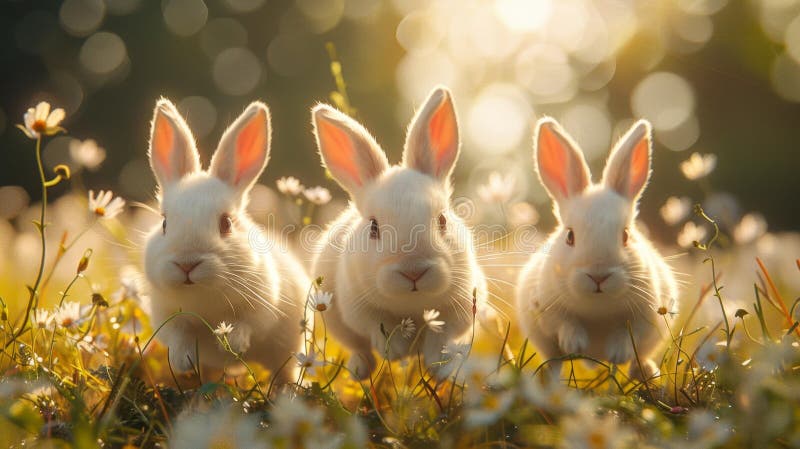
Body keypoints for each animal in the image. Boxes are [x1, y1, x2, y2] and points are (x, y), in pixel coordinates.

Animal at [142, 98, 308, 385]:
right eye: (164, 223)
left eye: (226, 223)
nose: (187, 264)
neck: (201, 293)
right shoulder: (166, 315)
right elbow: (178, 335)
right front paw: (183, 361)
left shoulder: (262, 305)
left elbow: (248, 324)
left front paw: (232, 344)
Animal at [309, 86, 489, 380]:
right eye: (373, 227)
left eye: (442, 220)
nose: (413, 271)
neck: (411, 303)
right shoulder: (360, 308)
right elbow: (377, 327)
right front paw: (396, 352)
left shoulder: (459, 308)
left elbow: (441, 337)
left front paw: (438, 365)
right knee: (359, 347)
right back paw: (359, 370)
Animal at [516, 117, 678, 379]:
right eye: (570, 236)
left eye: (626, 235)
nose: (598, 275)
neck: (598, 308)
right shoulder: (548, 309)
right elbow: (564, 323)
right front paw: (576, 344)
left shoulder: (645, 315)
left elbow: (629, 333)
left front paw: (617, 354)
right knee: (554, 362)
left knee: (640, 357)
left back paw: (646, 372)